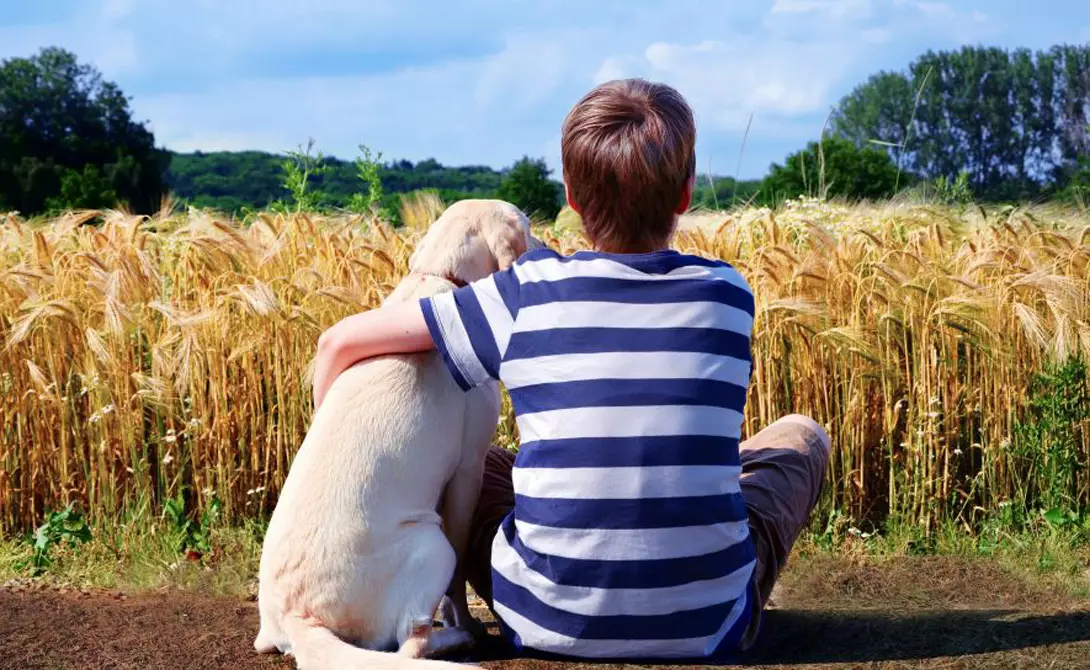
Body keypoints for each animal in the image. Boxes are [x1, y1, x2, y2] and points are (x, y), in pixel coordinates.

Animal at [255, 200, 536, 670]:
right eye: (529, 227)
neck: (440, 276)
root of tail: (298, 617)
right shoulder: (468, 469)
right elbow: (459, 573)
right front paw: (466, 620)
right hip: (431, 541)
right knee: (412, 642)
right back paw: (458, 638)